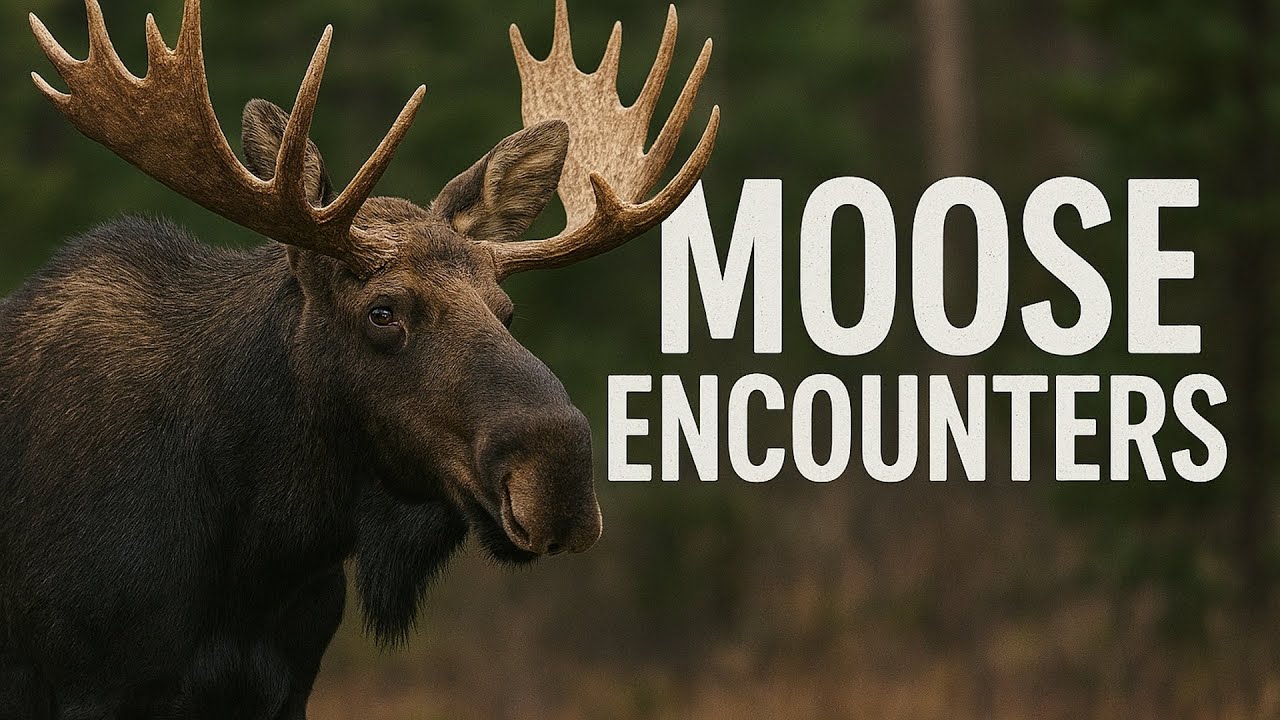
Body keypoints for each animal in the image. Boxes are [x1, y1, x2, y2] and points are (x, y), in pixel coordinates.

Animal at [0, 0, 718, 716]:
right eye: (382, 312)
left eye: (506, 309)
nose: (560, 478)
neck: (261, 549)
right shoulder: (95, 684)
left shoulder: (290, 681)